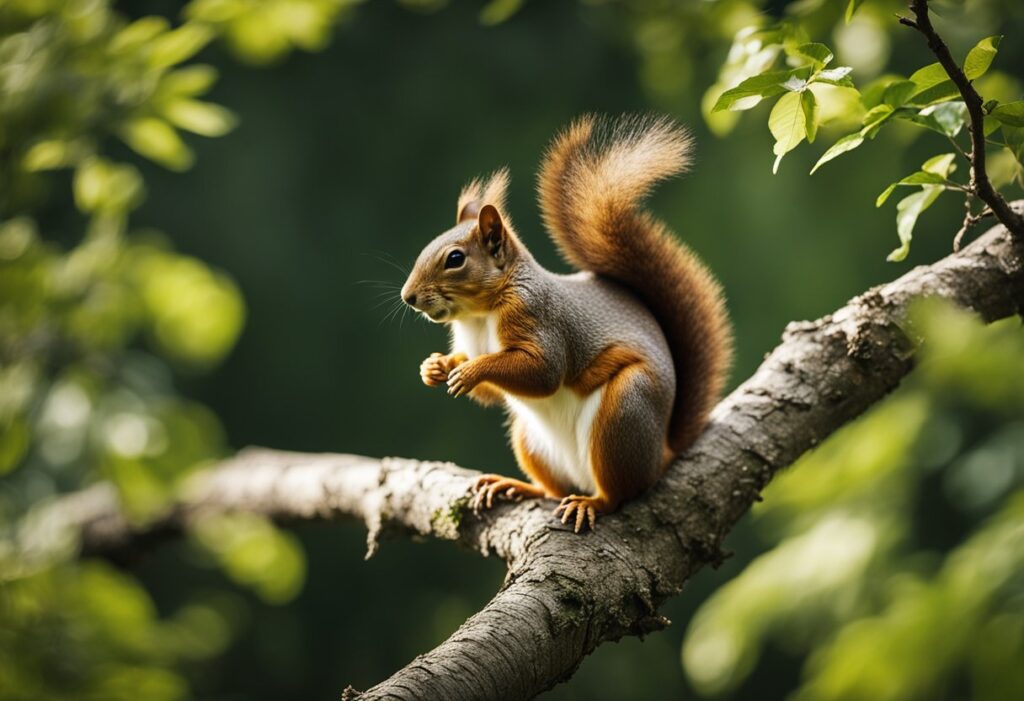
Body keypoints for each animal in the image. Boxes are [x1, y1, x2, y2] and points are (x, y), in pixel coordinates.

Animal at [400, 114, 733, 532]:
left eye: (455, 258)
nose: (407, 296)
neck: (480, 315)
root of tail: (662, 453)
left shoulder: (538, 318)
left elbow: (544, 372)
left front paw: (472, 371)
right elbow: (491, 391)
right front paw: (436, 367)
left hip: (624, 413)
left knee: (620, 491)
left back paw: (593, 502)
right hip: (530, 440)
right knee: (552, 489)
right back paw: (516, 486)